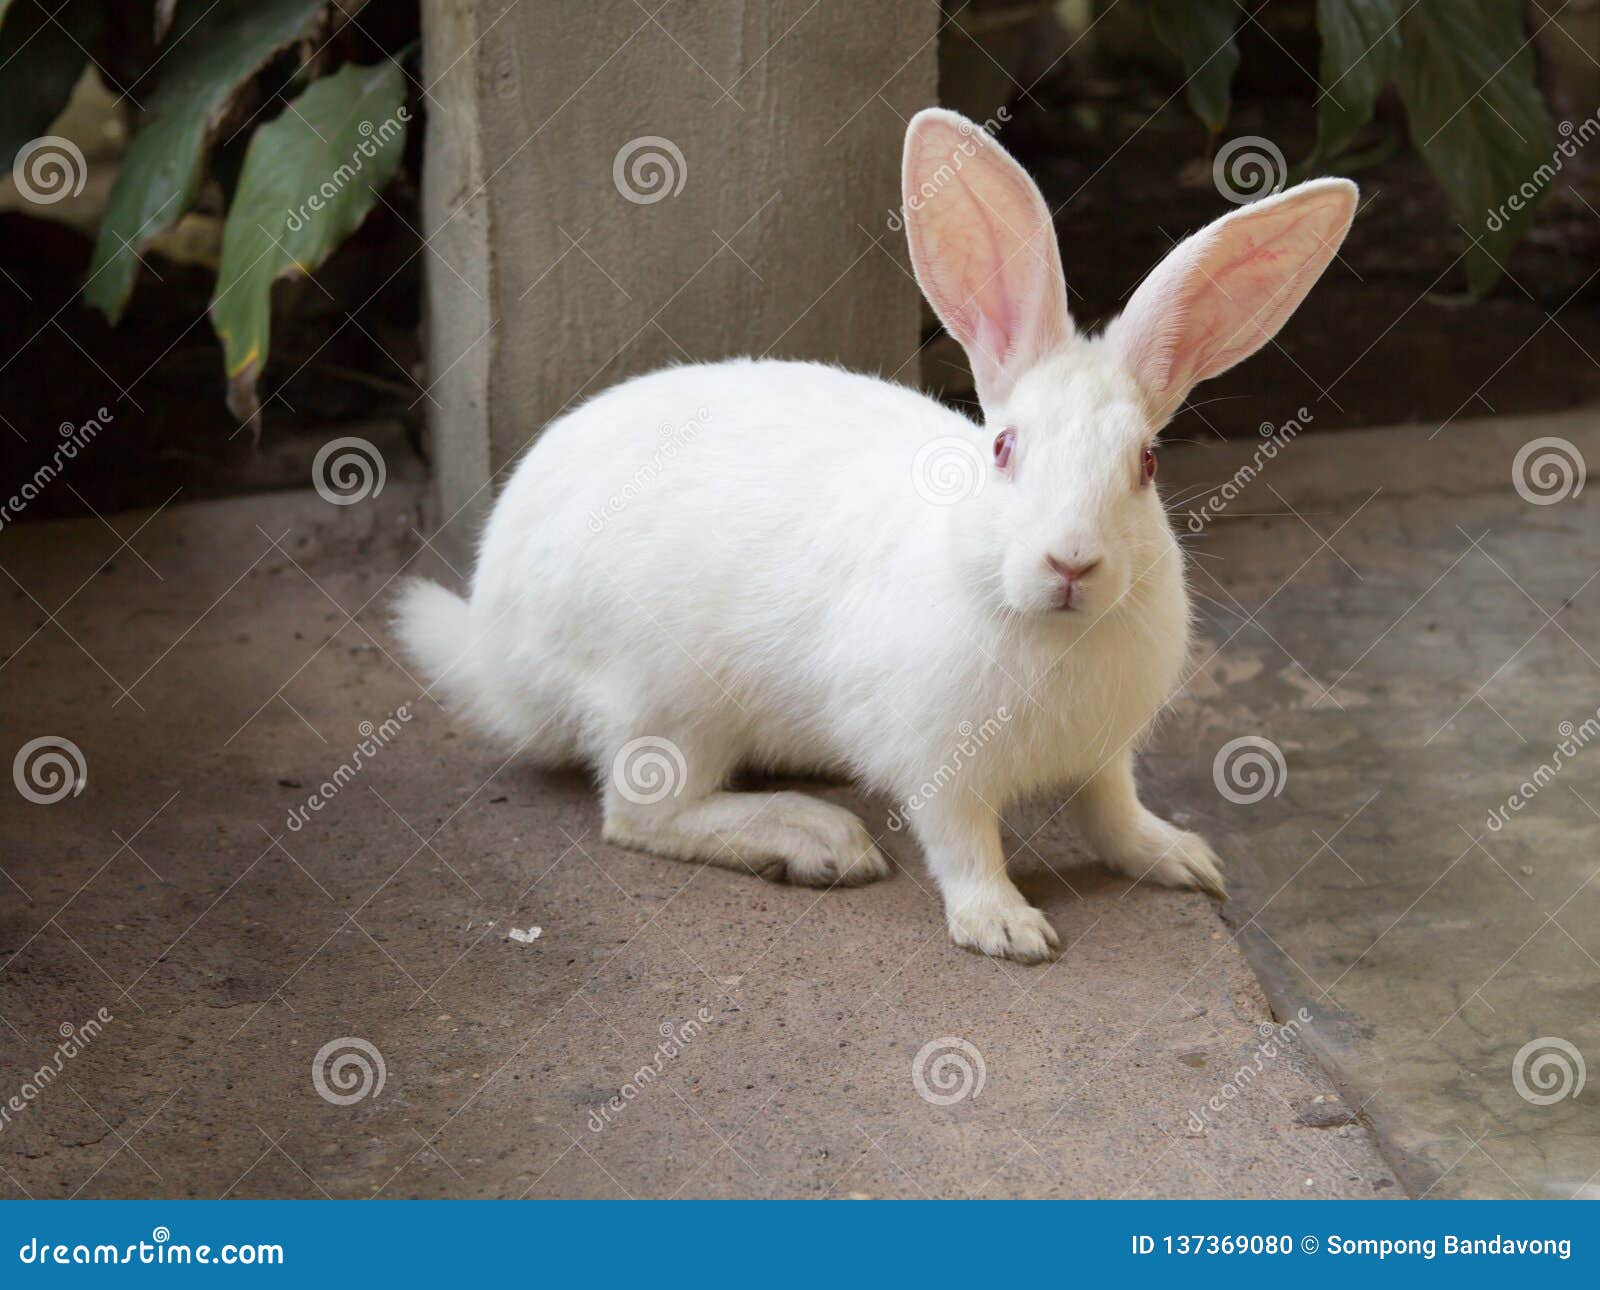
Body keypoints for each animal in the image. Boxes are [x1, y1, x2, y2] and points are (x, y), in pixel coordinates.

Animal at [395, 107, 1357, 963]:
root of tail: (494, 646)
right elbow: (964, 847)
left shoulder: (1102, 757)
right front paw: (1007, 929)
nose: (1072, 562)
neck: (1042, 625)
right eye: (1005, 449)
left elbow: (1114, 816)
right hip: (663, 700)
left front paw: (1183, 858)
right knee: (640, 815)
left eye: (1147, 464)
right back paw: (818, 839)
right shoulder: (941, 767)